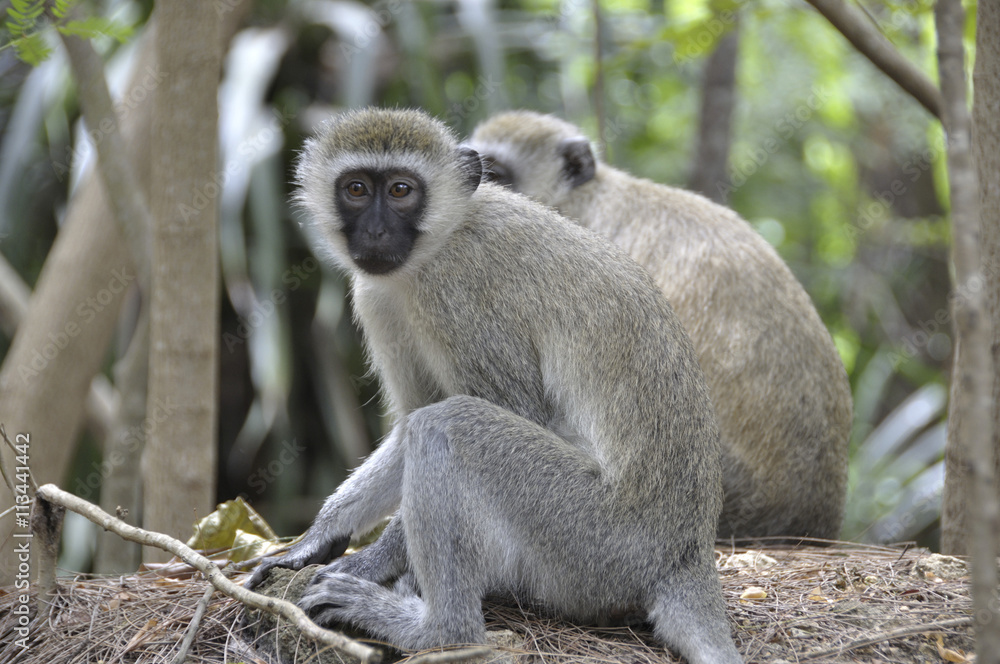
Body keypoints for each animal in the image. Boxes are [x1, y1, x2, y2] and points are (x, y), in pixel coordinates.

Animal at [247, 108, 743, 664]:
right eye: (356, 189)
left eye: (400, 190)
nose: (374, 231)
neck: (443, 237)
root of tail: (686, 555)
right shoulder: (377, 294)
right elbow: (410, 419)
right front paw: (315, 540)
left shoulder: (458, 293)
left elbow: (502, 410)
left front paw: (368, 562)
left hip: (596, 540)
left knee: (448, 427)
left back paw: (438, 630)